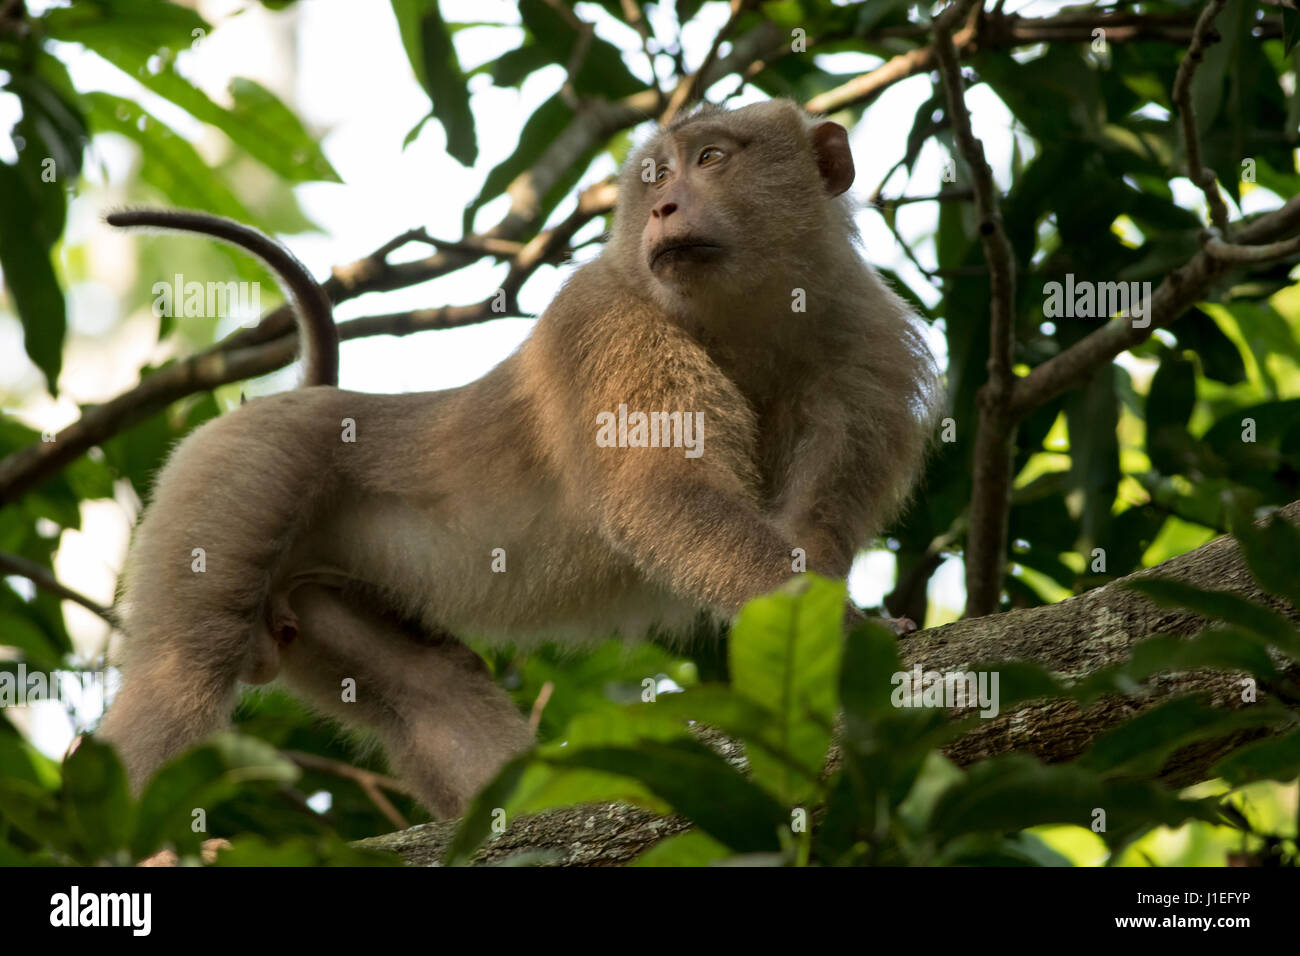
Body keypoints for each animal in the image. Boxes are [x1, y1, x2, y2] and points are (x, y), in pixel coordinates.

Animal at [96, 98, 941, 820]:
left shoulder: (863, 335)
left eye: (710, 158)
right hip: (237, 476)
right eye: (656, 177)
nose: (663, 208)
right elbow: (662, 492)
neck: (746, 314)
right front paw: (849, 636)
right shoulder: (608, 319)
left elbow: (811, 527)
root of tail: (307, 398)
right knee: (184, 669)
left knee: (429, 687)